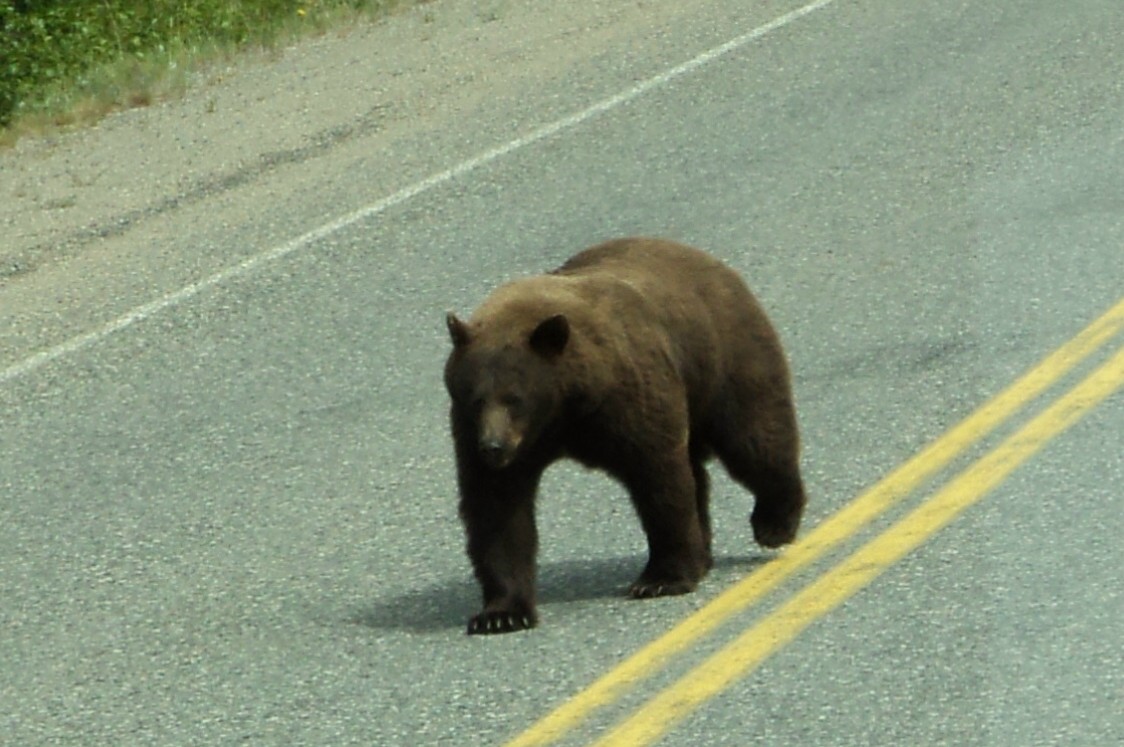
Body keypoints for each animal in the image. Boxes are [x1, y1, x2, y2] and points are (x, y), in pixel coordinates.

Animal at [444, 237, 806, 634]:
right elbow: (497, 508)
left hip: (725, 359)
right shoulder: (481, 435)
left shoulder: (628, 398)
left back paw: (774, 523)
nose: (493, 447)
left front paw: (661, 578)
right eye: (476, 398)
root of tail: (710, 261)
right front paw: (500, 613)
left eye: (515, 399)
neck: (565, 409)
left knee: (754, 440)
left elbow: (658, 478)